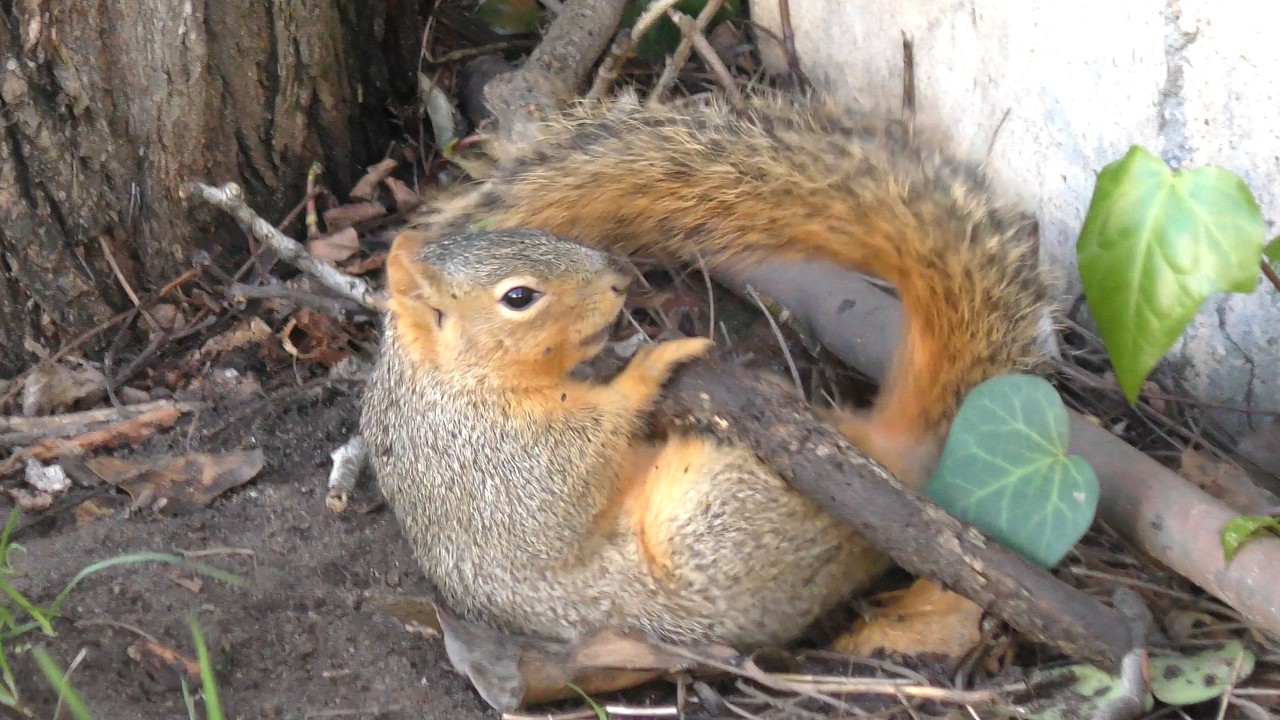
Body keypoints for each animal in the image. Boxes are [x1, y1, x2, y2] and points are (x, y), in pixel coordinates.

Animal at [360, 90, 1050, 650]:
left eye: (542, 233)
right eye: (519, 297)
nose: (620, 278)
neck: (451, 386)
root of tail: (893, 461)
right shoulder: (508, 464)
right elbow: (577, 477)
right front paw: (650, 364)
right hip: (713, 521)